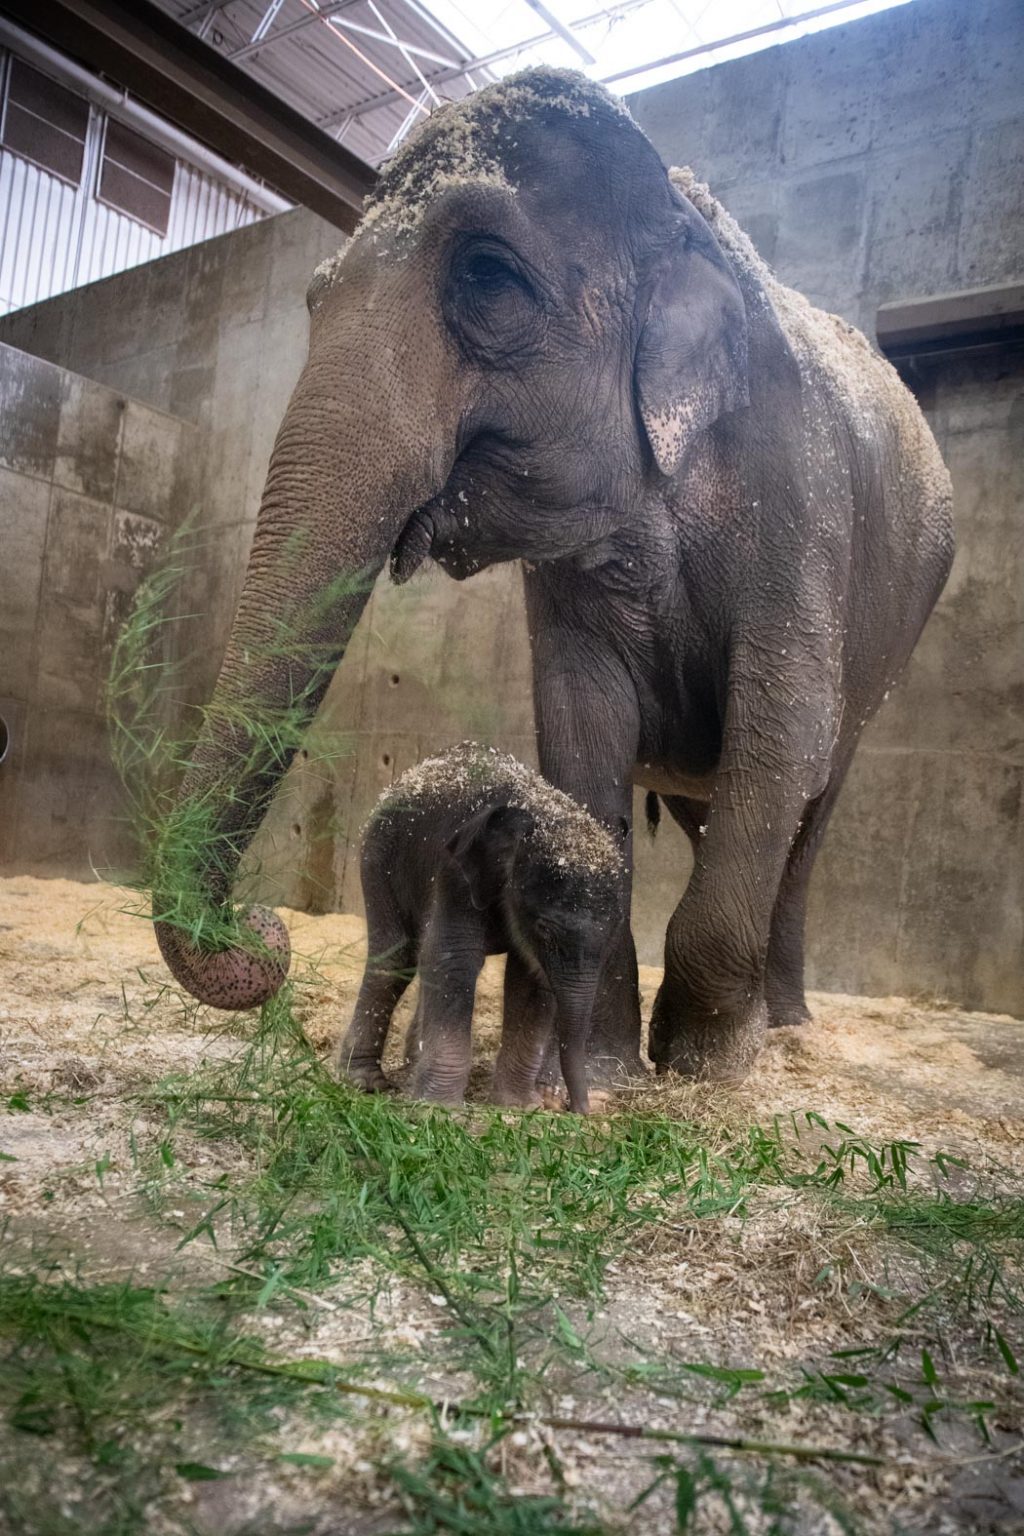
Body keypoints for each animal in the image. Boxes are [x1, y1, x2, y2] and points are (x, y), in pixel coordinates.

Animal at [337, 742, 624, 1112]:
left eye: (614, 932)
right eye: (544, 928)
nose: (578, 1110)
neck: (537, 811)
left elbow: (529, 981)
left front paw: (519, 1106)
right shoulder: (454, 874)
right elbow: (454, 959)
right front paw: (440, 1110)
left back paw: (412, 1068)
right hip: (377, 857)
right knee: (395, 960)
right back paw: (363, 1082)